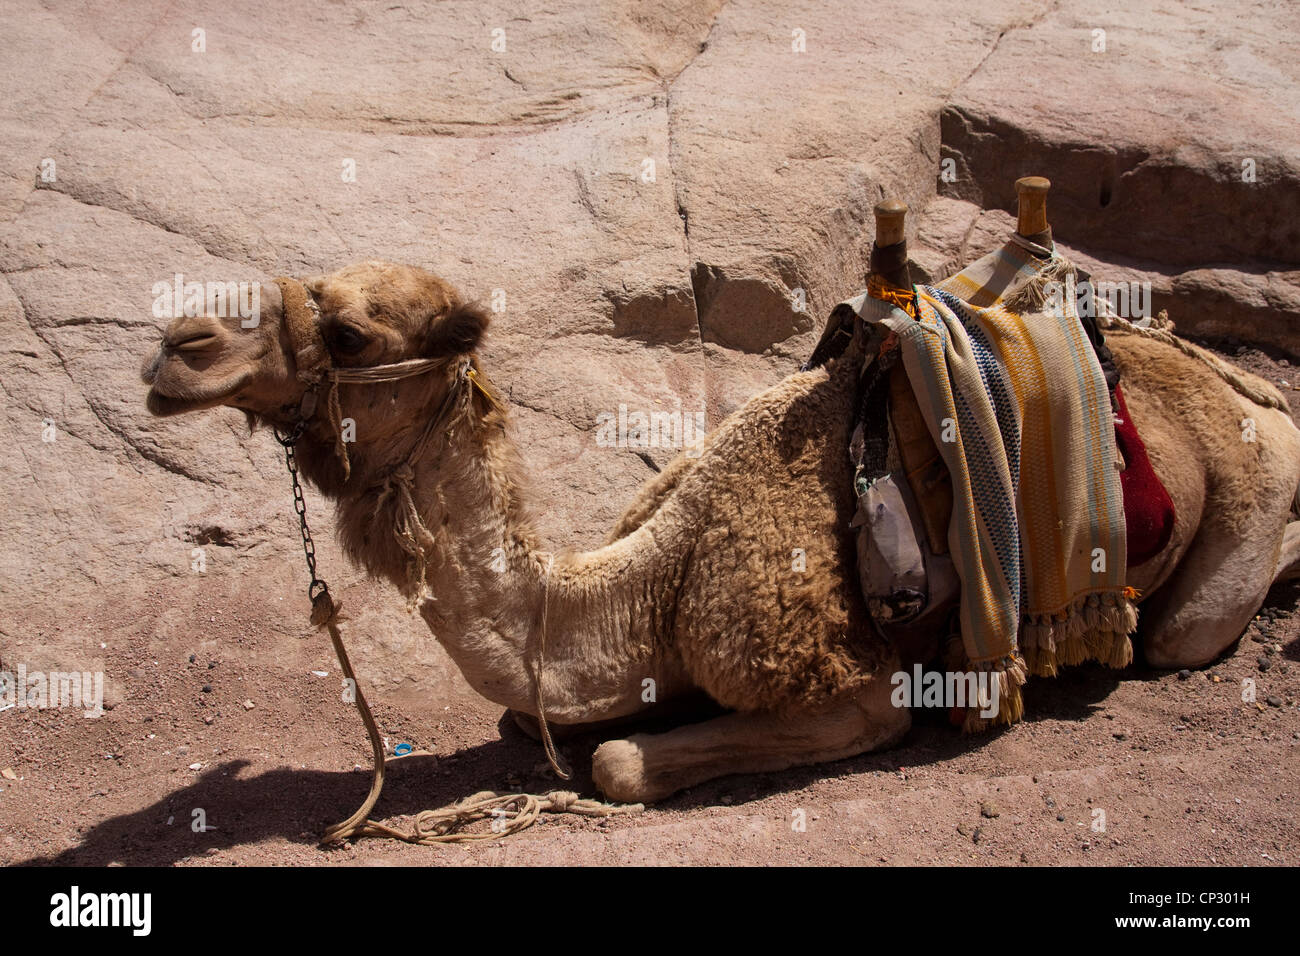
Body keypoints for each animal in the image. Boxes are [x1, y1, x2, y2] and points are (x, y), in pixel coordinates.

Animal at [141, 253, 1300, 805]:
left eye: (345, 331)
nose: (176, 350)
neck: (652, 582)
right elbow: (531, 722)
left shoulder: (857, 686)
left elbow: (616, 764)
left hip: (1228, 523)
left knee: (1188, 623)